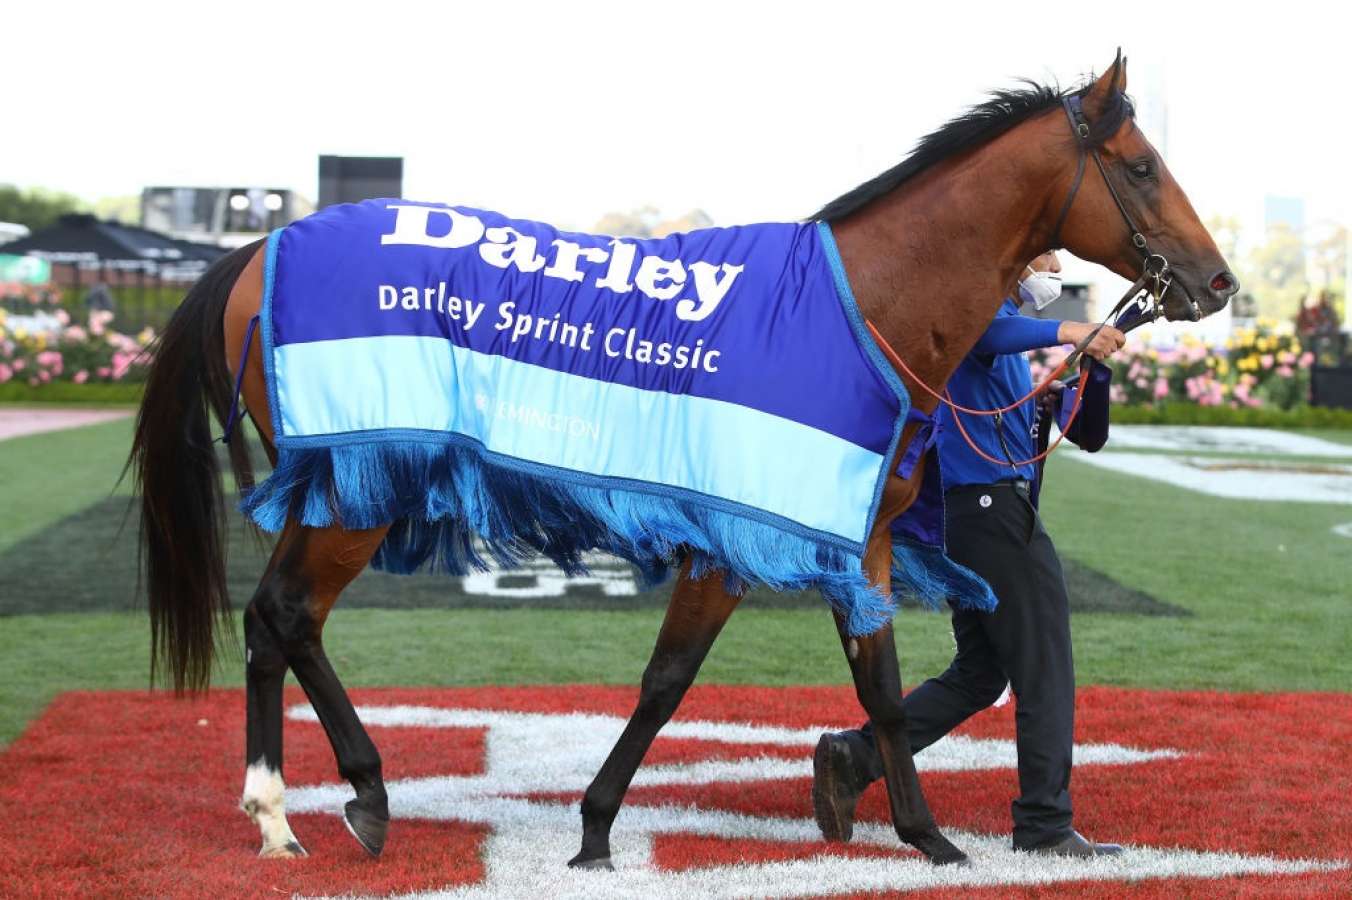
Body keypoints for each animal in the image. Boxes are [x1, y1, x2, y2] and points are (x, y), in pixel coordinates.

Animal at [129, 51, 1237, 870]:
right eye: (1141, 165)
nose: (1217, 280)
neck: (857, 308)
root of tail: (254, 253)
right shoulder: (731, 537)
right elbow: (668, 678)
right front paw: (592, 833)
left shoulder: (858, 537)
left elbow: (877, 687)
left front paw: (925, 837)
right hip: (357, 486)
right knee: (285, 615)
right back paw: (327, 799)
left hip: (344, 488)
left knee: (277, 621)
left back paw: (307, 806)